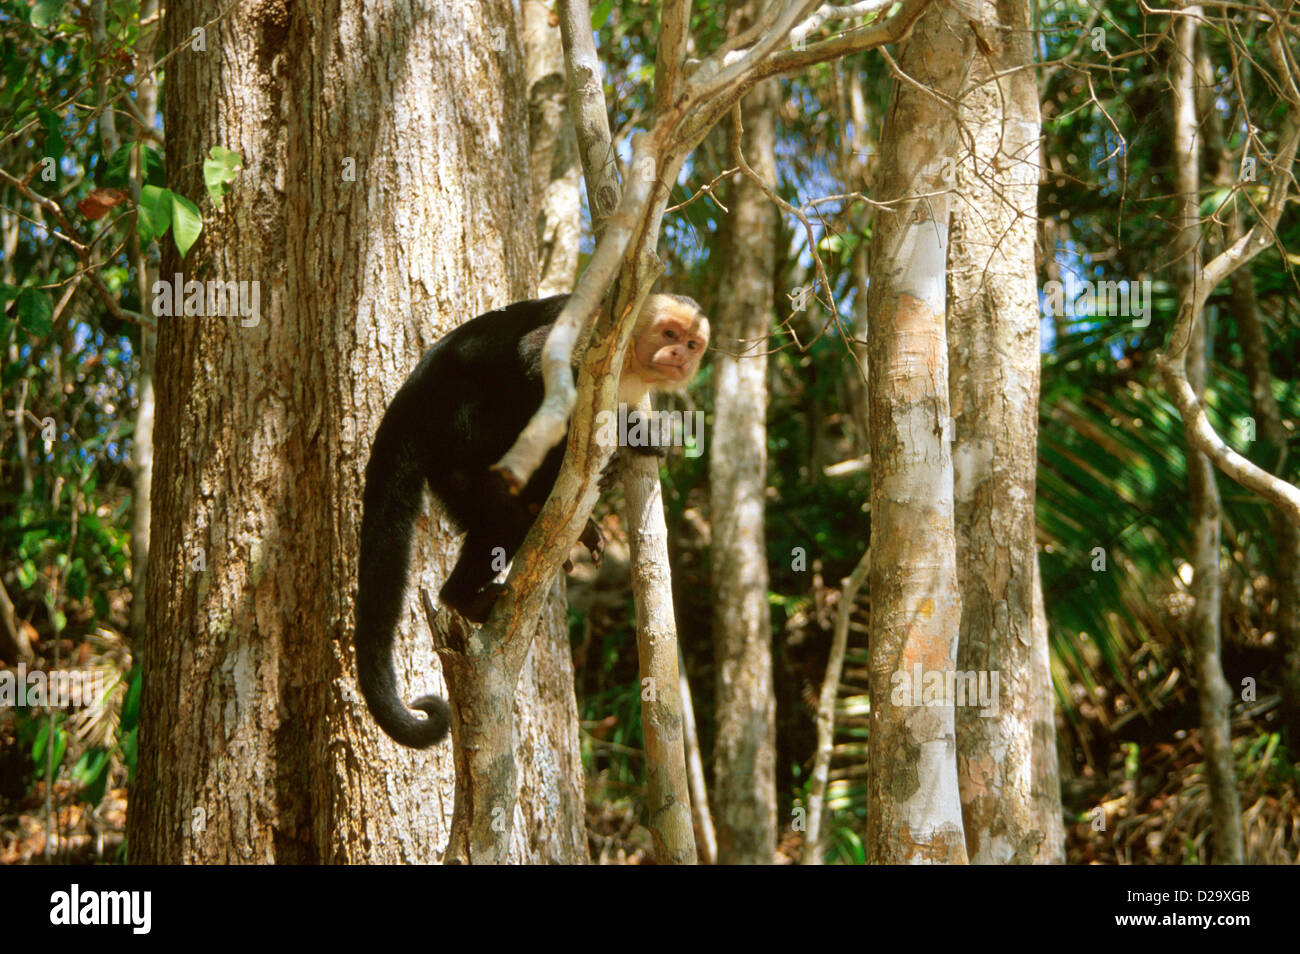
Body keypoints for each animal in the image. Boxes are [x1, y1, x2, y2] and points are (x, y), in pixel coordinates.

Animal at [353, 292, 710, 747]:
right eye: (668, 333)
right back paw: (463, 595)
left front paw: (645, 437)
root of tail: (409, 398)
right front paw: (628, 433)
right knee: (511, 477)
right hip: (458, 432)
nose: (680, 354)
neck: (632, 361)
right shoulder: (603, 331)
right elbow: (532, 359)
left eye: (691, 343)